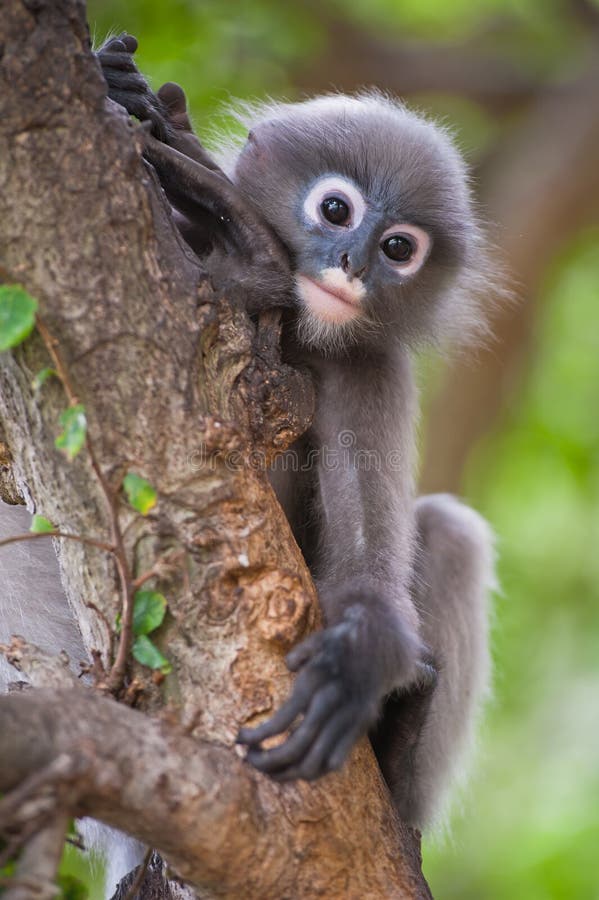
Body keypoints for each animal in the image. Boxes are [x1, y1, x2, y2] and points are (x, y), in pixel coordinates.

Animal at [0, 32, 497, 893]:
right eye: (335, 210)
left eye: (398, 248)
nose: (351, 264)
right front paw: (137, 101)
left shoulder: (374, 361)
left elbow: (367, 572)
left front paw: (360, 655)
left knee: (449, 531)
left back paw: (397, 757)